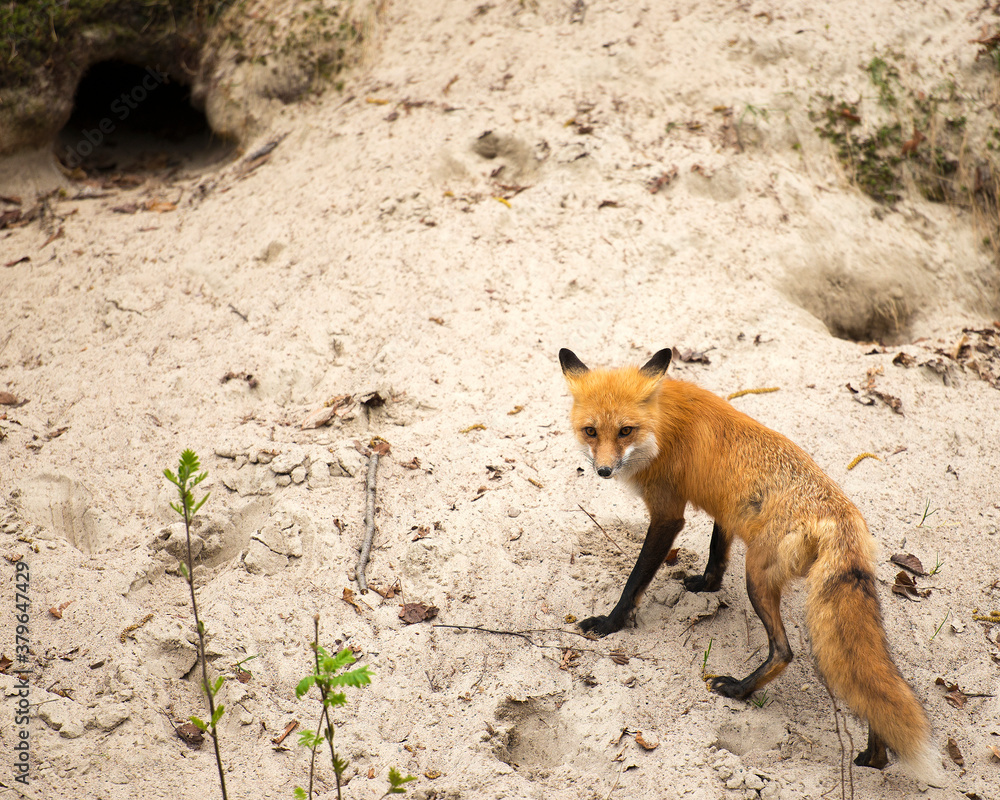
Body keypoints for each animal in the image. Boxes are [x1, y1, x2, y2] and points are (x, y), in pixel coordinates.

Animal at [559, 347, 941, 783]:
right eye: (591, 431)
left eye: (625, 430)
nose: (603, 470)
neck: (662, 424)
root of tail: (841, 518)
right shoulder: (727, 508)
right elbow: (716, 550)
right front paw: (706, 585)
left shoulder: (668, 515)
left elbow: (634, 582)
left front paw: (609, 624)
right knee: (865, 689)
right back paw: (875, 757)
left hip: (757, 579)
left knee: (784, 651)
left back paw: (738, 690)